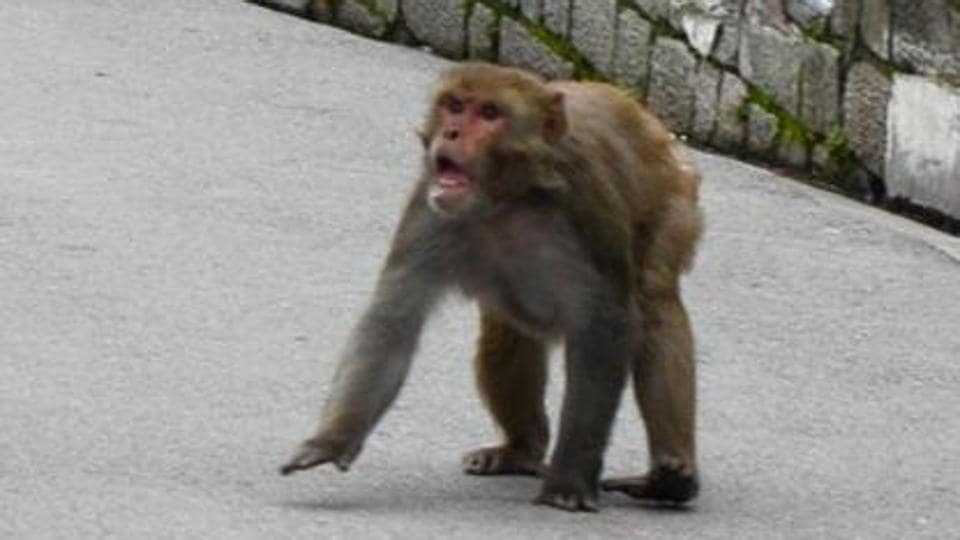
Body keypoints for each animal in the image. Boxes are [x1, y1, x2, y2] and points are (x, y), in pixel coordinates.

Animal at [280, 62, 703, 512]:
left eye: (488, 113)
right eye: (454, 105)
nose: (451, 133)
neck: (508, 199)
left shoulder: (590, 203)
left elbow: (607, 325)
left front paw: (570, 480)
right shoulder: (428, 208)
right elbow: (393, 320)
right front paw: (331, 440)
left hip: (676, 195)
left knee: (654, 303)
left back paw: (670, 477)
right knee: (508, 333)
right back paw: (521, 450)